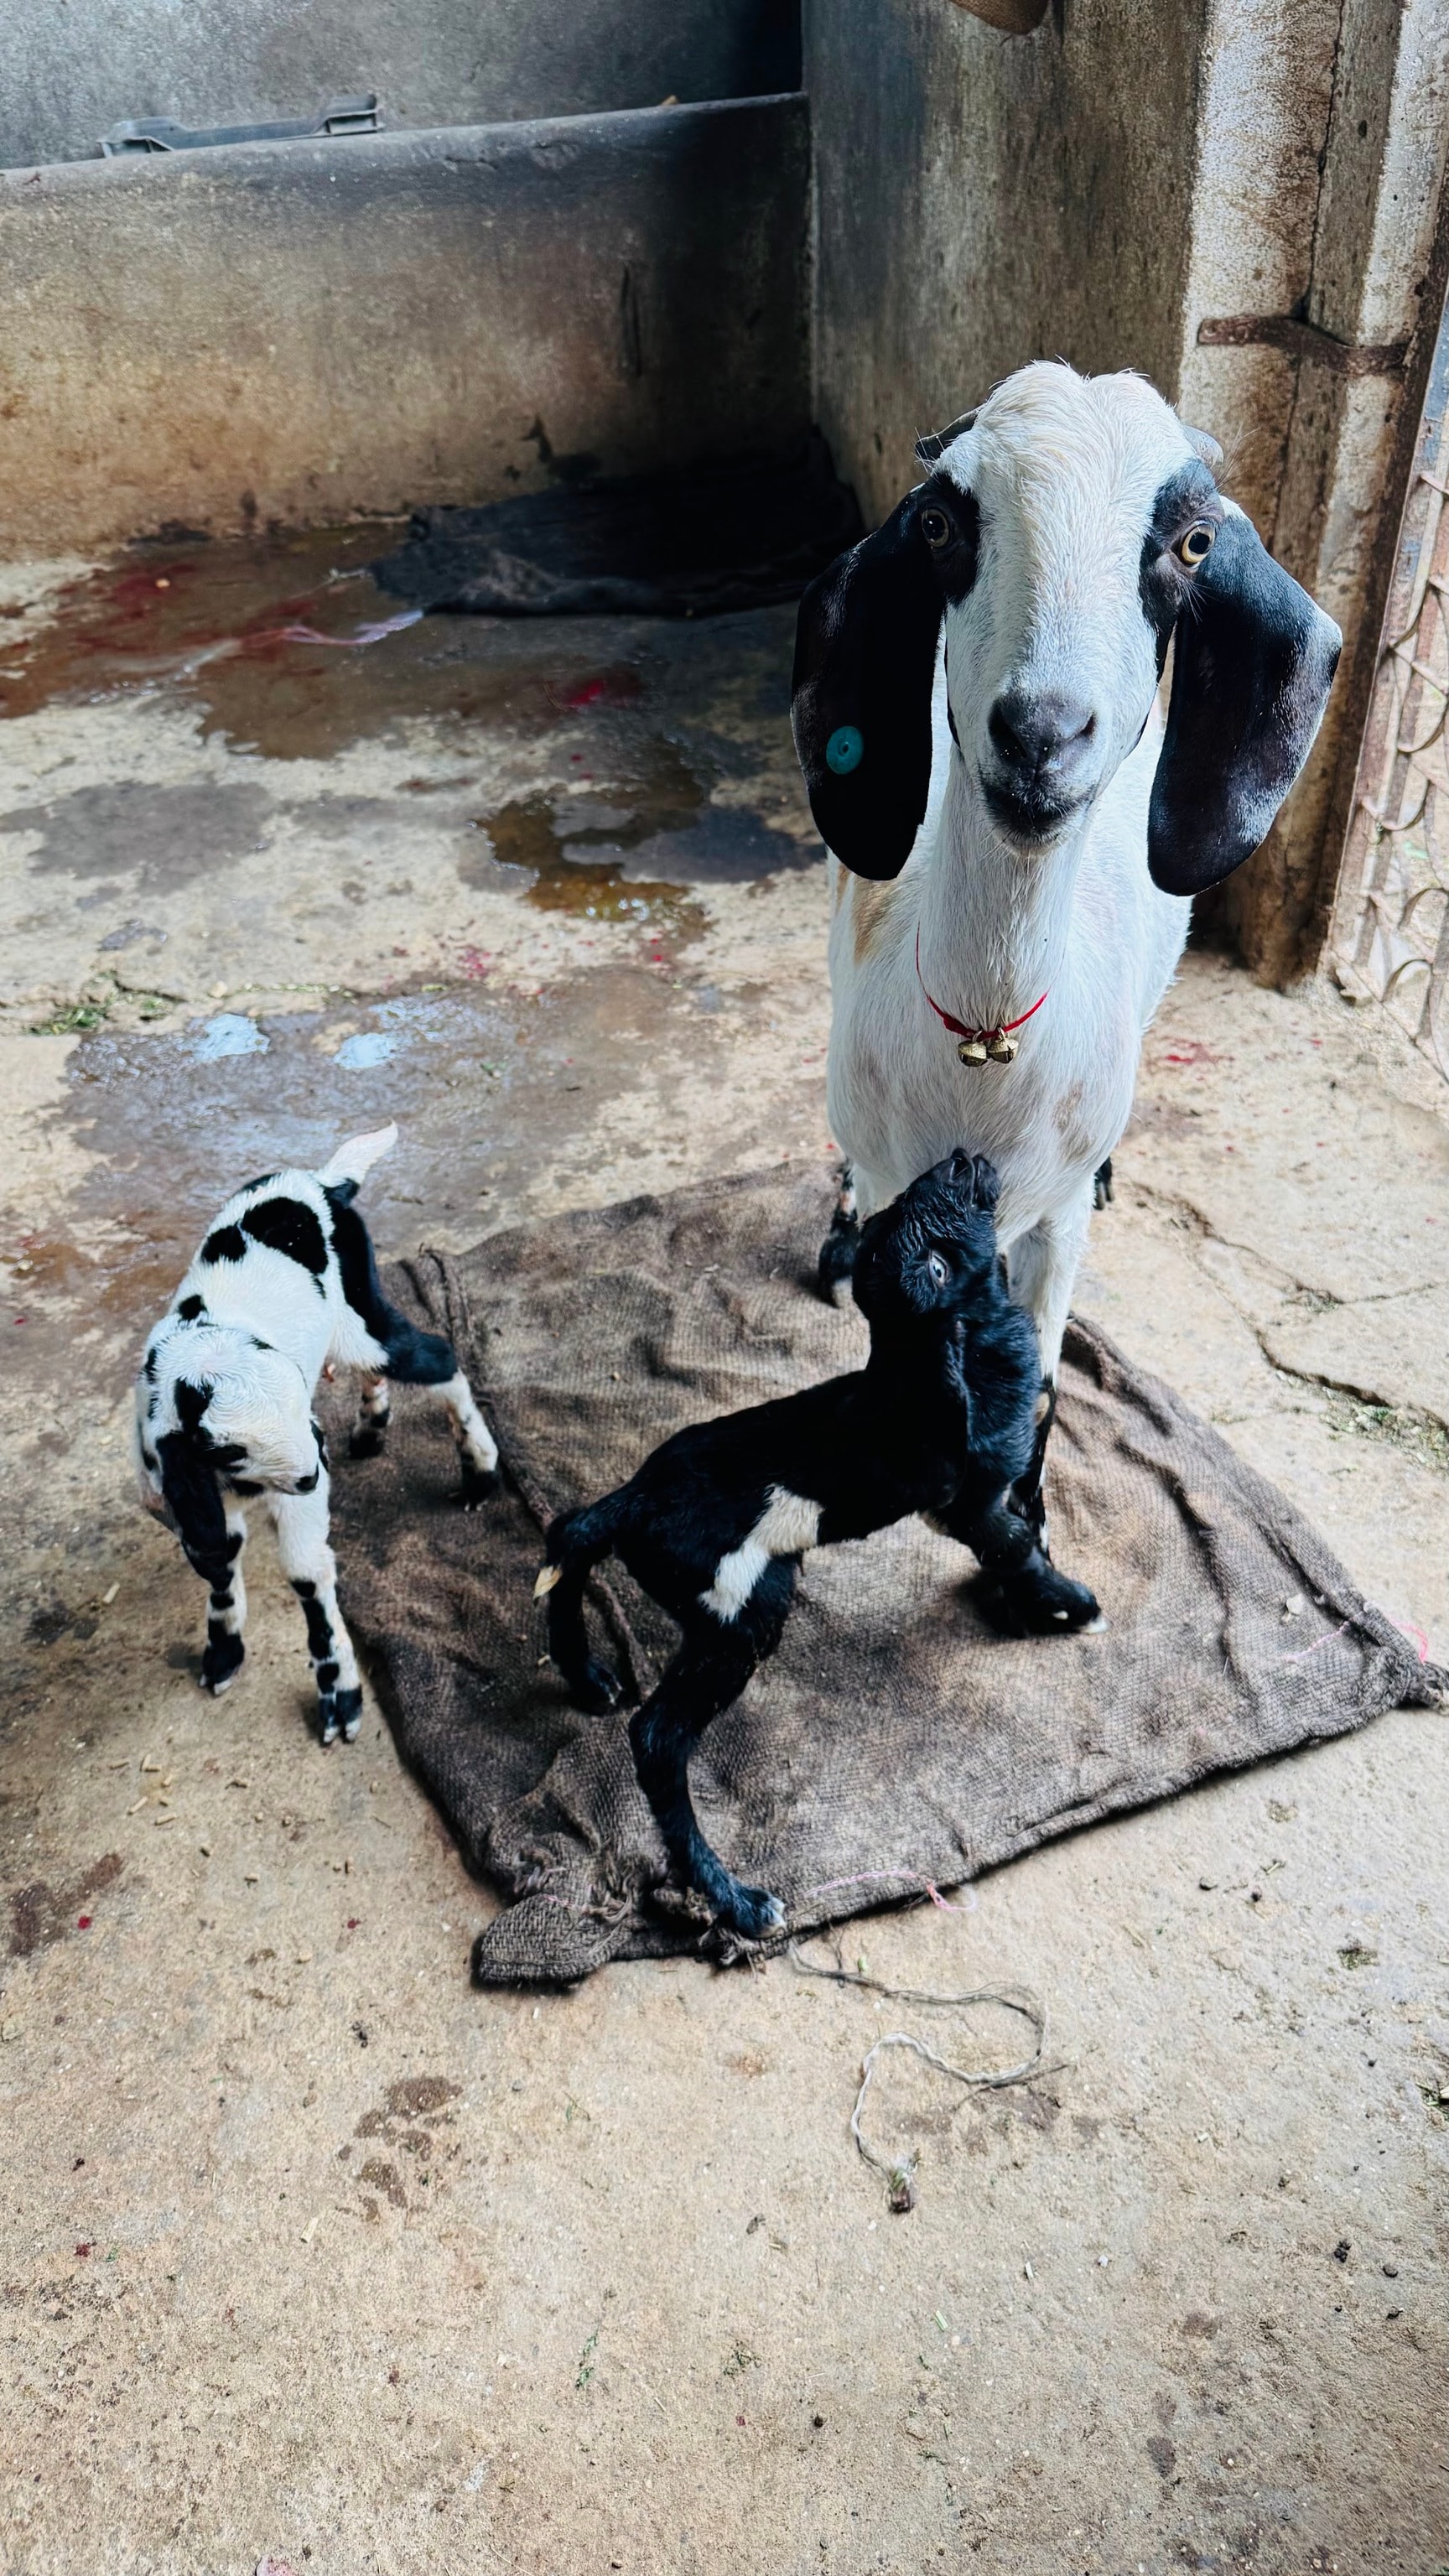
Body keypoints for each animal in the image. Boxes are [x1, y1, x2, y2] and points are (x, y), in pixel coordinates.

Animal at [133, 1123, 497, 1743]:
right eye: (229, 1448)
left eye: (296, 1405)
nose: (310, 1473)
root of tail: (325, 1182)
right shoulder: (192, 1494)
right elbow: (218, 1563)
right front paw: (223, 1652)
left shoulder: (299, 1491)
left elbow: (306, 1573)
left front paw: (339, 1694)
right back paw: (373, 1427)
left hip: (360, 1313)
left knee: (433, 1356)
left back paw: (479, 1471)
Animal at [536, 1150, 1096, 1939]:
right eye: (948, 1210)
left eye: (919, 1199)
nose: (961, 1157)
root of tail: (641, 1500)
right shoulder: (967, 1500)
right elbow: (1017, 1545)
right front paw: (1070, 1607)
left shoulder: (967, 1499)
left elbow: (1016, 1538)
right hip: (742, 1613)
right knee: (657, 1739)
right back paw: (736, 1899)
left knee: (571, 1531)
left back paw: (587, 1677)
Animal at [792, 362, 1341, 1631]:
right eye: (942, 524)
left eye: (1193, 541)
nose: (1041, 734)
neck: (987, 1038)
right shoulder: (901, 1185)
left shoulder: (1048, 1238)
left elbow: (1038, 1374)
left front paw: (1022, 1547)